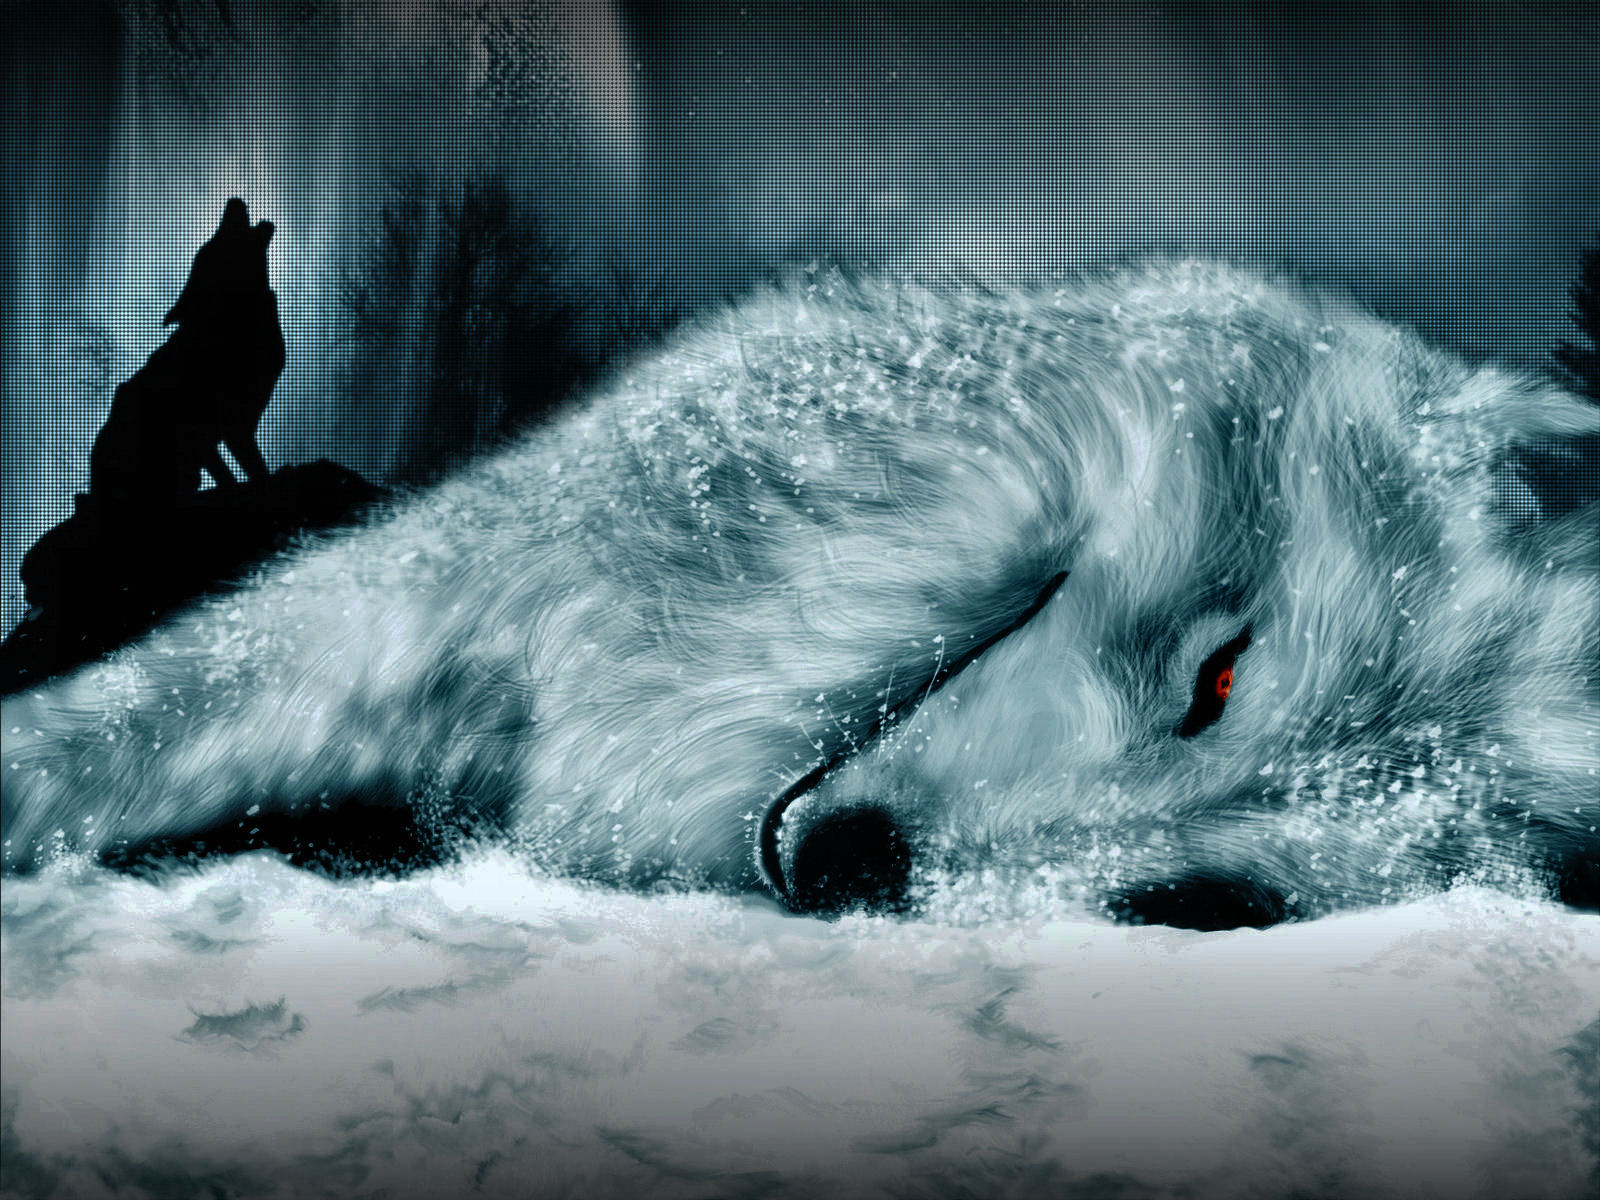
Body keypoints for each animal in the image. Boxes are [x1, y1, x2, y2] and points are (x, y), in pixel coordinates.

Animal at [88, 197, 285, 504]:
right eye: (217, 241)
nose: (233, 201)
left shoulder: (236, 426)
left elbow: (239, 468)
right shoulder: (224, 428)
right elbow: (246, 470)